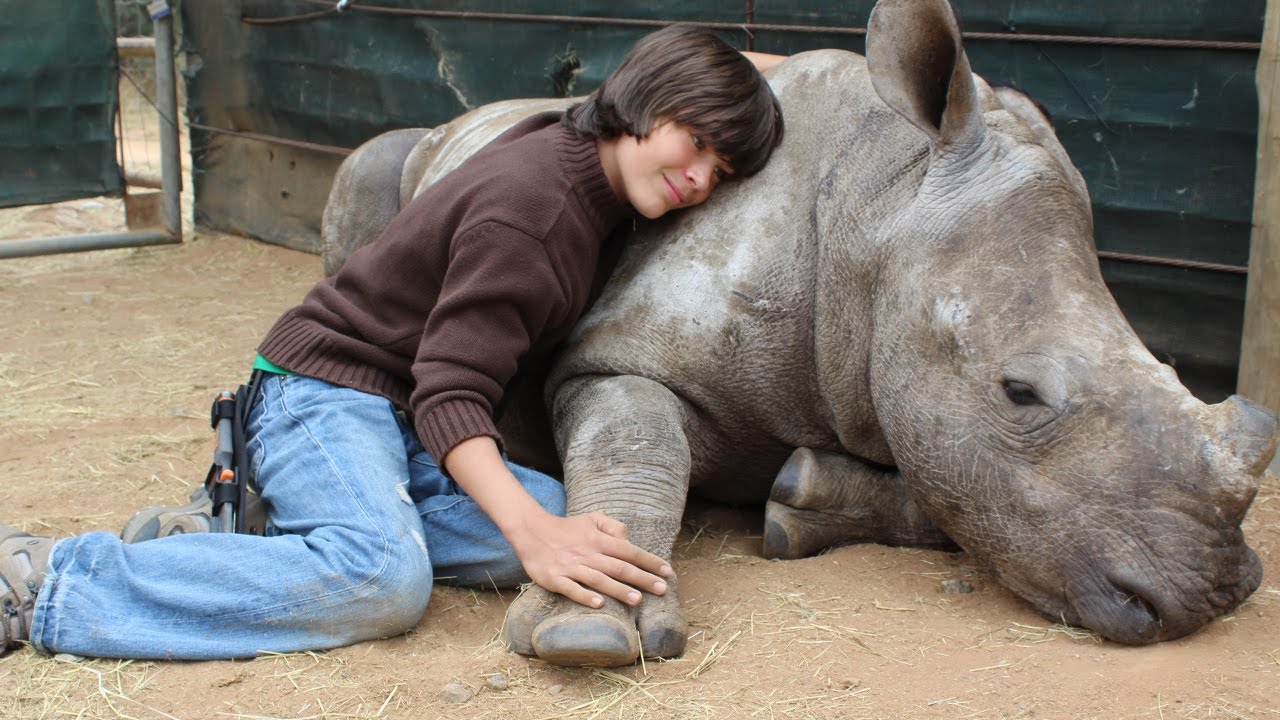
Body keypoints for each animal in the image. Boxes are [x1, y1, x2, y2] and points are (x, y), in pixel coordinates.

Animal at [320, 0, 1278, 667]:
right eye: (1020, 392)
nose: (1210, 595)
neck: (875, 208)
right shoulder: (609, 356)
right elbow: (636, 438)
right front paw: (586, 630)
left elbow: (953, 489)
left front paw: (798, 499)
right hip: (397, 157)